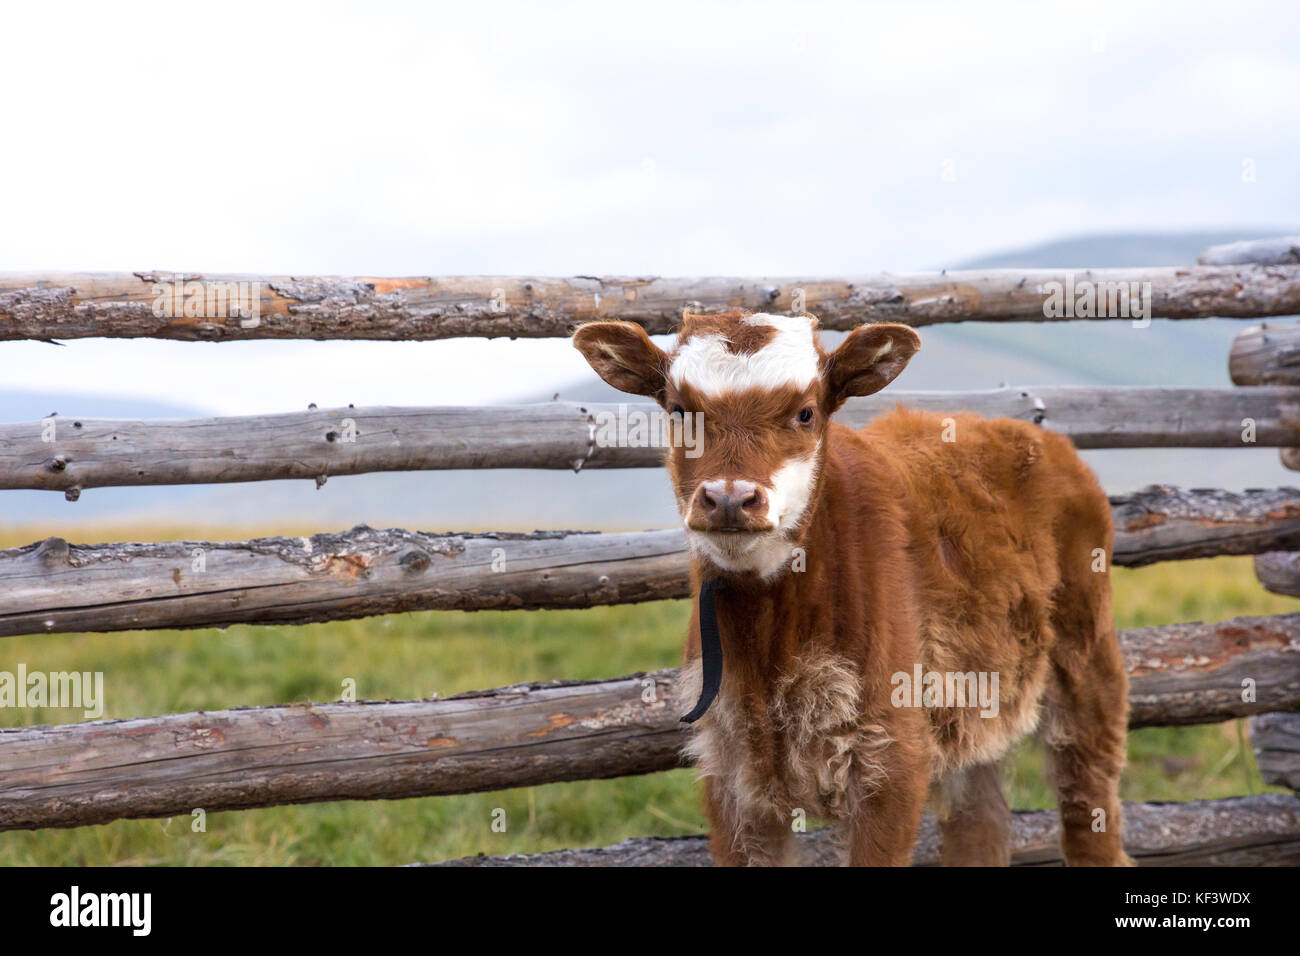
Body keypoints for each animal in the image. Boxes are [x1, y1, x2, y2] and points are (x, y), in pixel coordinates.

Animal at [573, 310, 1131, 867]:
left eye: (805, 413)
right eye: (679, 409)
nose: (729, 498)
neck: (772, 640)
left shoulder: (894, 758)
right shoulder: (730, 778)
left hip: (1087, 666)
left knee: (1089, 809)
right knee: (980, 821)